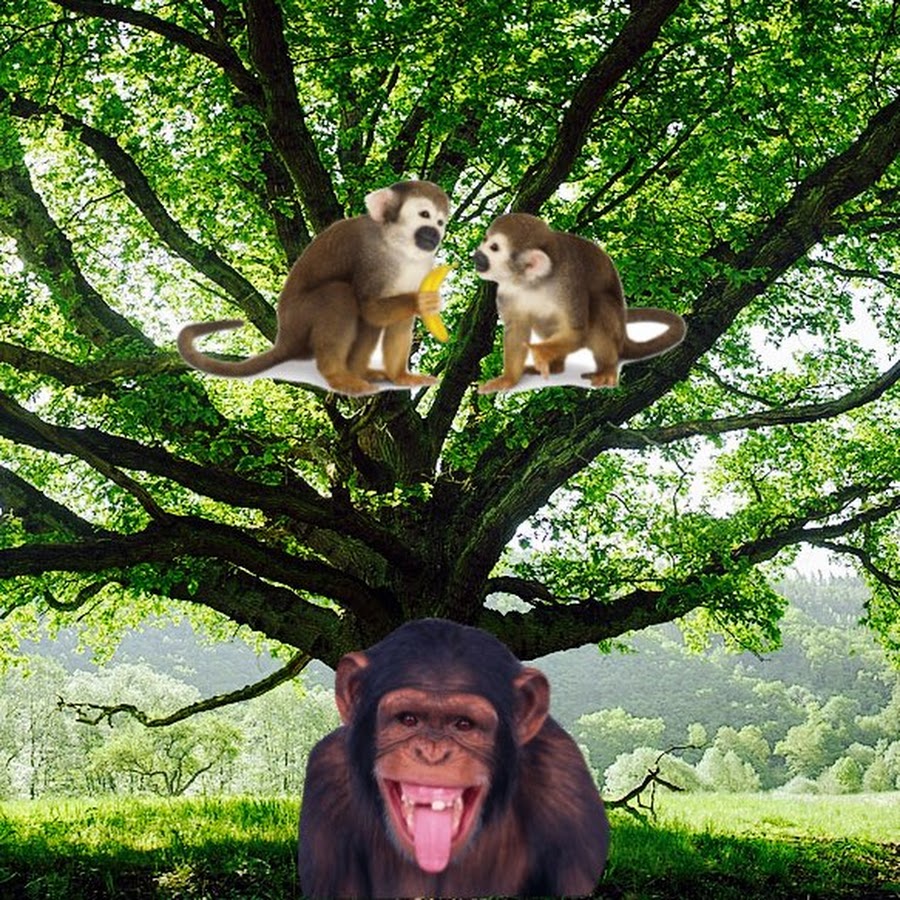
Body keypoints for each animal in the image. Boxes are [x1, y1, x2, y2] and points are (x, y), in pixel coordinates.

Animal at [178, 180, 450, 396]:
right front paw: (421, 301)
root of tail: (283, 336)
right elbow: (370, 308)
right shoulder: (372, 258)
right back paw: (339, 375)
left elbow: (398, 321)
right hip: (300, 318)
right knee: (339, 295)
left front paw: (401, 377)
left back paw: (359, 371)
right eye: (424, 215)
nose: (434, 234)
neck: (399, 248)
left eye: (440, 222)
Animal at [472, 213, 686, 392]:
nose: (477, 255)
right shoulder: (506, 292)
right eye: (485, 240)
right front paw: (508, 379)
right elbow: (516, 330)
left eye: (494, 248)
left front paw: (540, 352)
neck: (531, 282)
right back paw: (556, 366)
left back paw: (606, 369)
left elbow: (576, 331)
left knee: (600, 304)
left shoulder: (569, 282)